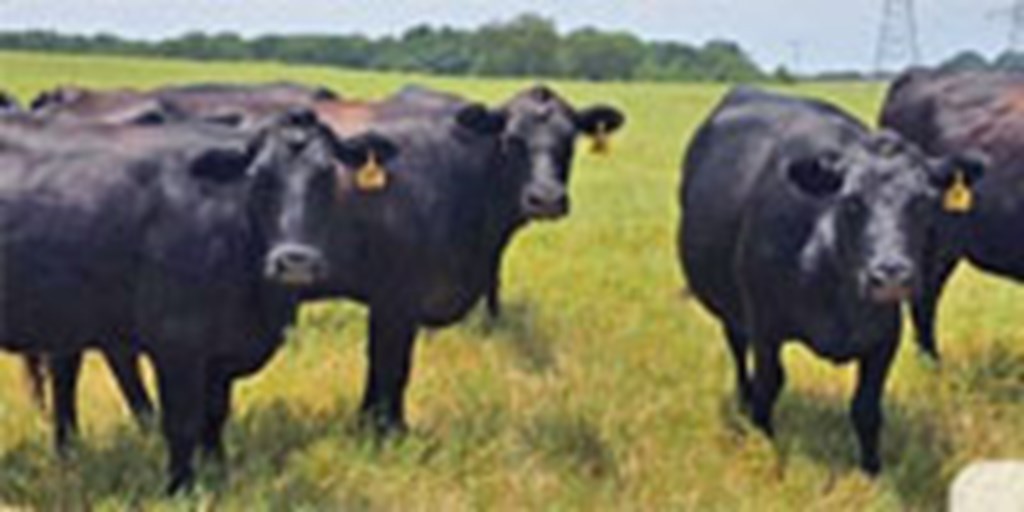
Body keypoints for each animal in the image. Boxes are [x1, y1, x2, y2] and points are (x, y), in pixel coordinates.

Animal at [0, 111, 399, 493]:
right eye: (258, 178)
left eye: (328, 175)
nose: (294, 261)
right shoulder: (177, 341)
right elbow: (183, 422)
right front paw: (182, 489)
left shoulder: (220, 351)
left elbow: (214, 416)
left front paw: (219, 475)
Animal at [679, 87, 986, 474]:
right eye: (851, 202)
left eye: (923, 203)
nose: (891, 276)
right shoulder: (765, 326)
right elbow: (769, 386)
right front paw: (765, 449)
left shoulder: (885, 335)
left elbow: (866, 407)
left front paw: (871, 471)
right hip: (731, 308)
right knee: (737, 349)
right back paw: (743, 401)